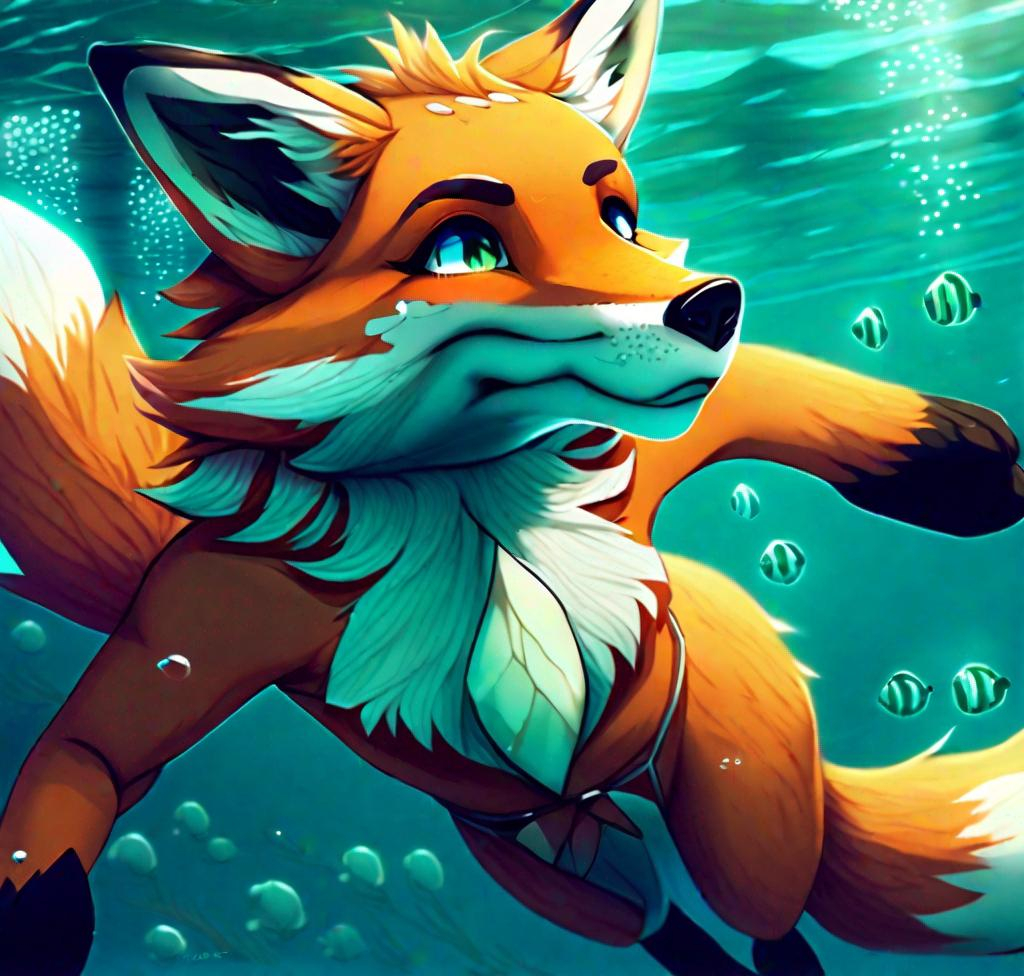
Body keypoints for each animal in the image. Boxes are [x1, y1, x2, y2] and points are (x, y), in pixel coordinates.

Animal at [1, 0, 1023, 973]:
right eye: (467, 251)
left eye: (618, 218)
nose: (715, 302)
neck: (474, 506)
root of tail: (612, 793)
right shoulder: (214, 601)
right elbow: (93, 751)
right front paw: (37, 910)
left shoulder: (654, 450)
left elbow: (781, 392)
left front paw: (971, 465)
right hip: (551, 863)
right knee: (665, 924)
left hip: (740, 803)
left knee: (771, 921)